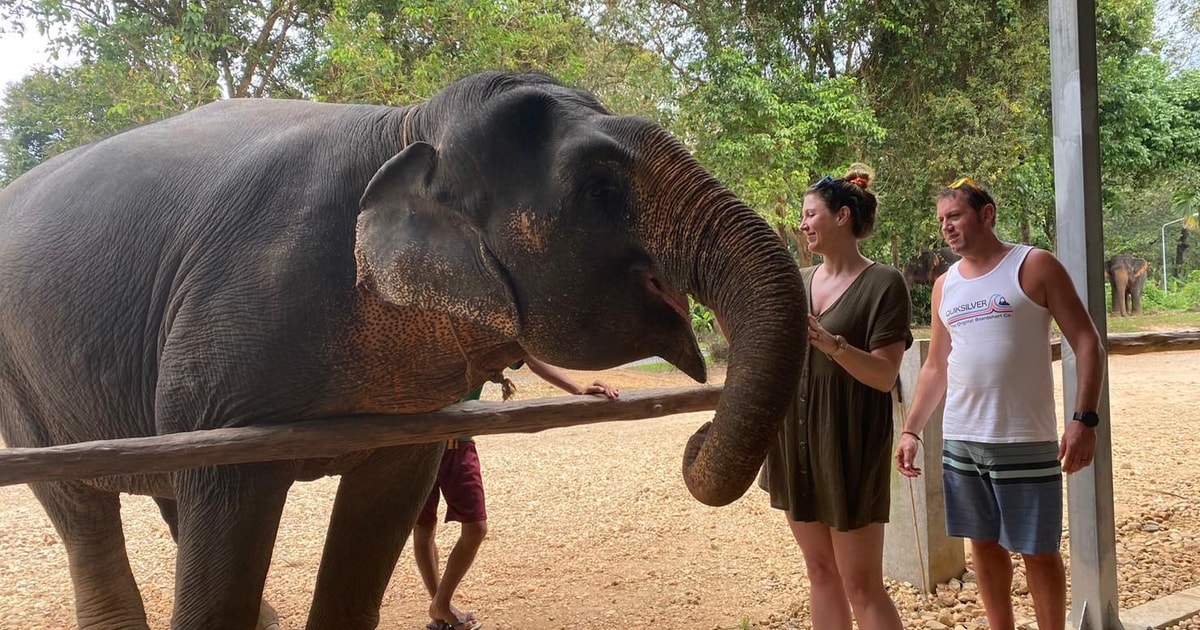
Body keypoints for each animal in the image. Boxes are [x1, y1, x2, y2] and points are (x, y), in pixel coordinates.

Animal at [0, 72, 807, 629]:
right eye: (602, 191)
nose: (694, 433)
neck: (407, 126)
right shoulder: (230, 333)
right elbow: (224, 479)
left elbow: (379, 513)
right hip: (19, 386)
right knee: (83, 507)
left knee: (168, 491)